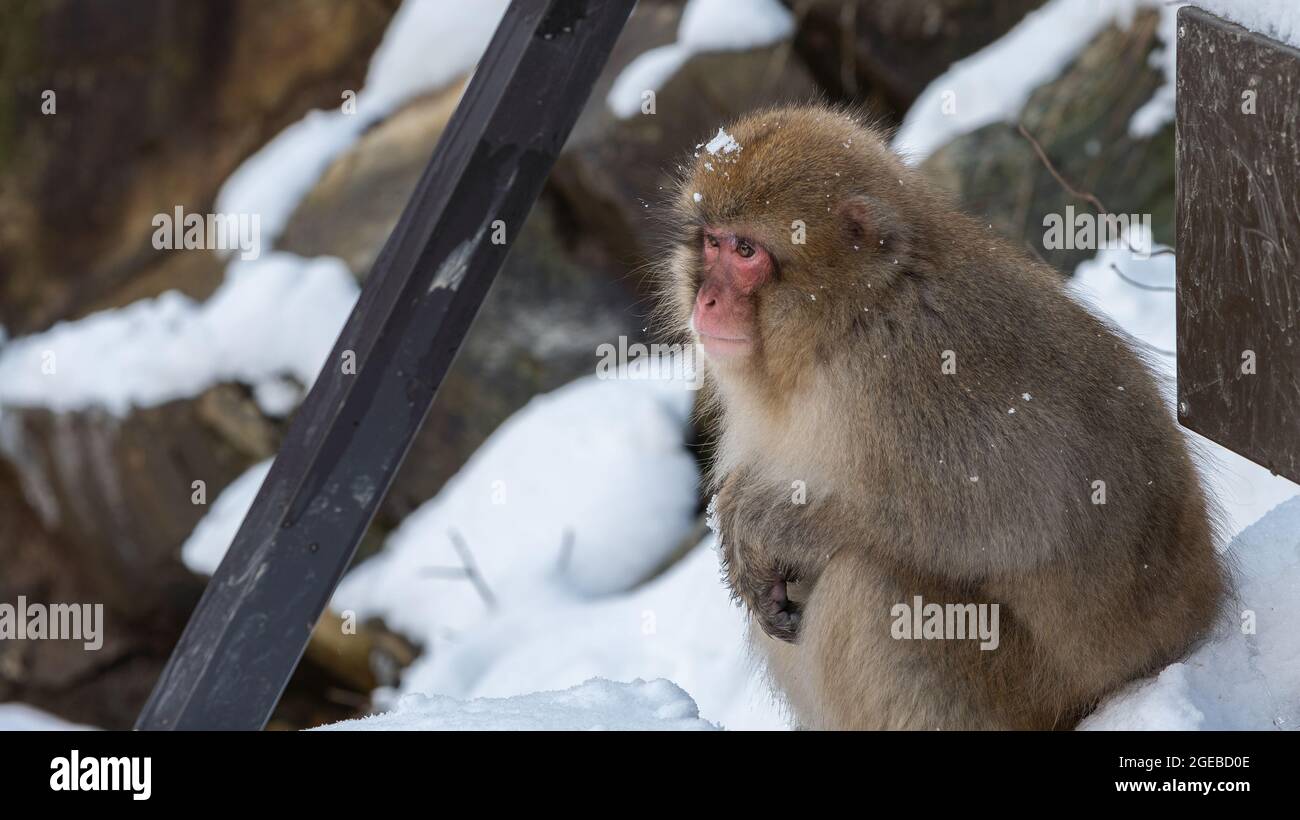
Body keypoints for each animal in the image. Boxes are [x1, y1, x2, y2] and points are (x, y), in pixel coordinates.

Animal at [658, 104, 1226, 730]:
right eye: (712, 244)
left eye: (746, 252)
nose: (706, 301)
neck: (847, 322)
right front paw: (739, 517)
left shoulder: (914, 370)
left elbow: (1004, 520)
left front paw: (772, 520)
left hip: (1028, 690)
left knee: (869, 583)